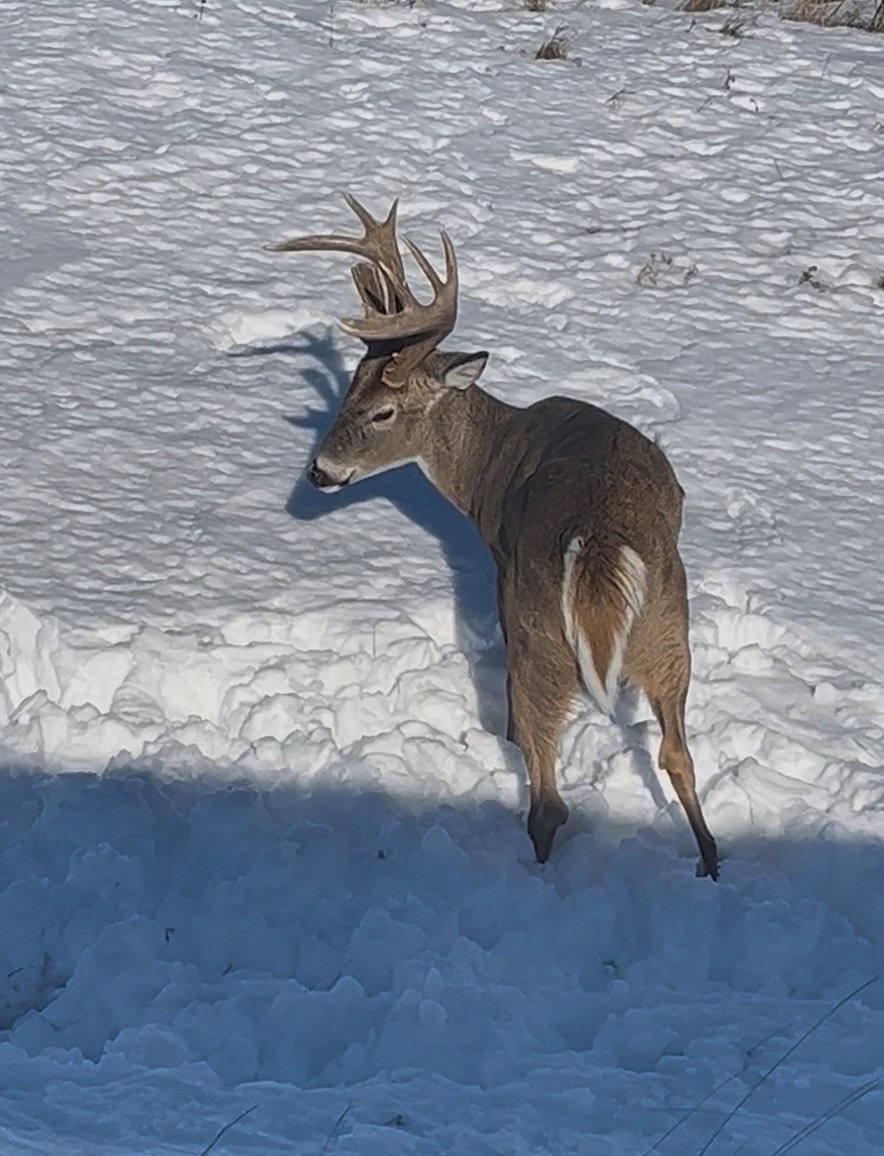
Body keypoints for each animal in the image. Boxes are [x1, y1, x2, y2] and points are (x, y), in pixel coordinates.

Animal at [267, 195, 719, 880]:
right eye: (347, 396)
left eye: (383, 412)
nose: (319, 472)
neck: (486, 463)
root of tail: (597, 542)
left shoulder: (503, 566)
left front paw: (501, 736)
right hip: (669, 626)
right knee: (678, 755)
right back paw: (711, 864)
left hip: (546, 633)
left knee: (550, 792)